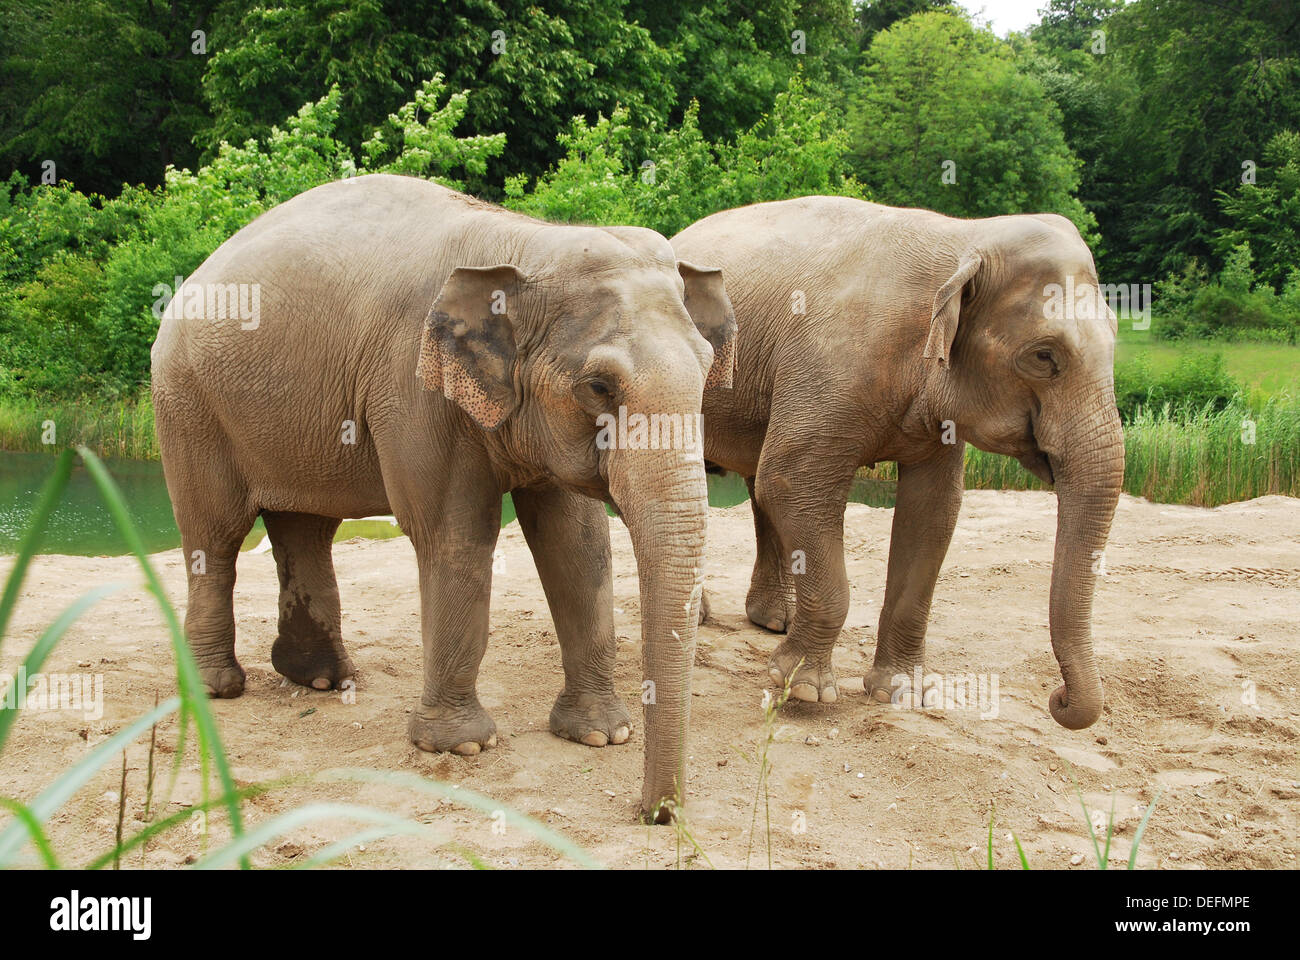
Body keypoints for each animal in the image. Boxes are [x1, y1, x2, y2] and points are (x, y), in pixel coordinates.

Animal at [151, 174, 736, 820]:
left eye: (708, 369)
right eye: (599, 386)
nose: (656, 816)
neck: (528, 242)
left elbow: (576, 542)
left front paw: (601, 735)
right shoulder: (412, 385)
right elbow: (456, 535)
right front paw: (461, 747)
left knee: (305, 527)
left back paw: (323, 681)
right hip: (186, 401)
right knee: (216, 534)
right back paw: (217, 689)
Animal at [672, 196, 1123, 730]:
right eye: (1044, 356)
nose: (1057, 699)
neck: (964, 237)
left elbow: (934, 510)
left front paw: (905, 692)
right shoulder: (830, 364)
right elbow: (790, 480)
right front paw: (802, 690)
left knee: (755, 479)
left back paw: (775, 620)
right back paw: (704, 618)